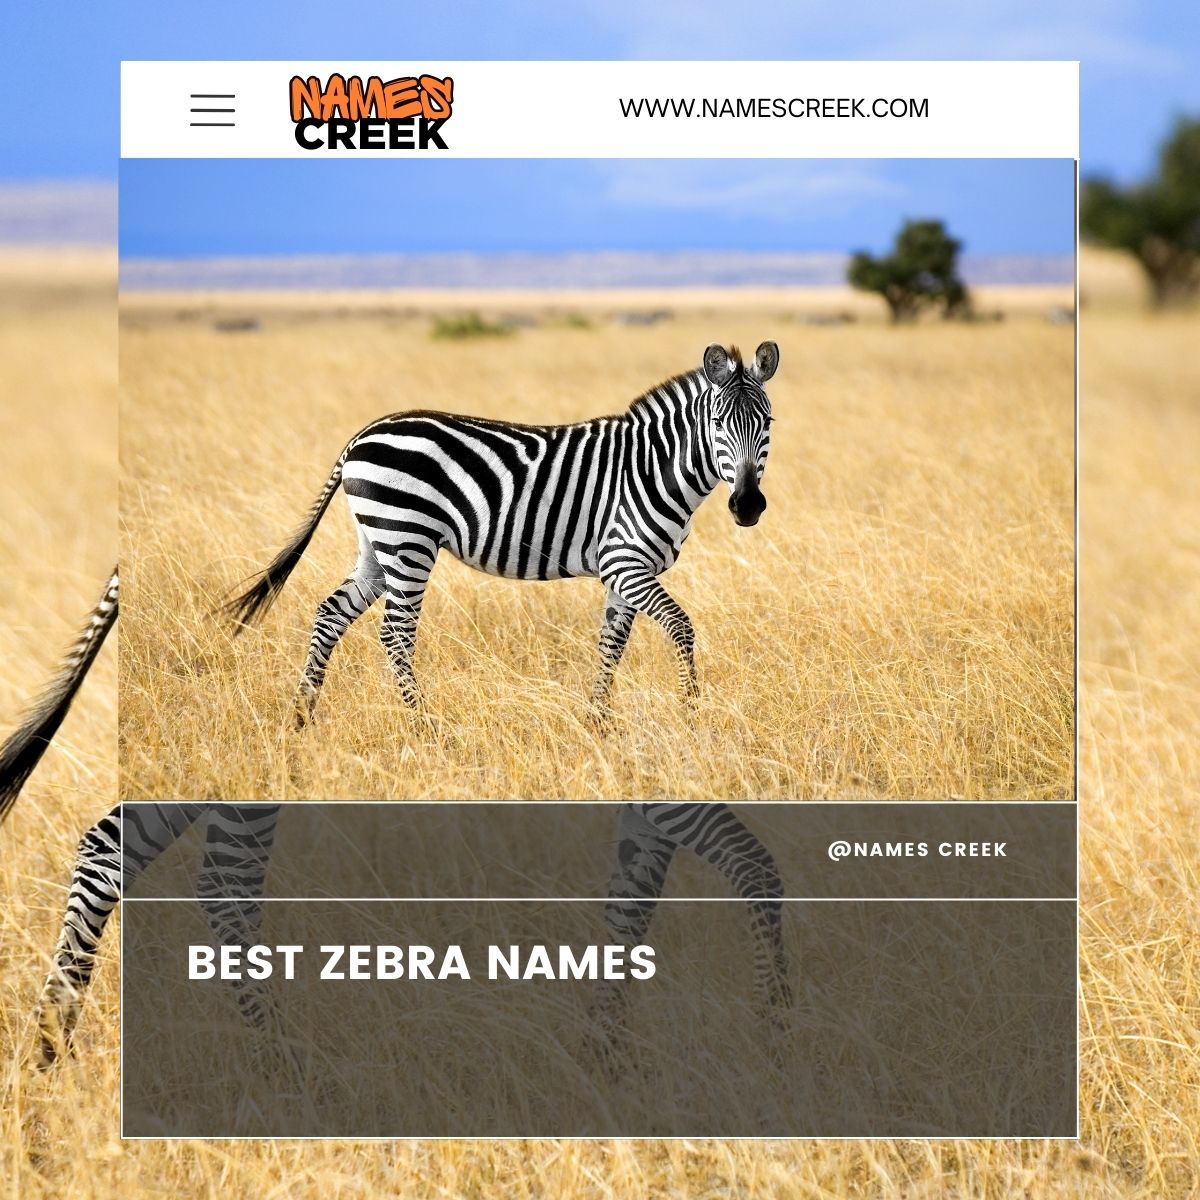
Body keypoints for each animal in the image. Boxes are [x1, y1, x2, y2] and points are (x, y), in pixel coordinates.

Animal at [23, 802, 789, 1069]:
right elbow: (754, 866)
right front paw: (774, 1039)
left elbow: (633, 900)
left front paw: (604, 1052)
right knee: (223, 884)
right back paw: (286, 1063)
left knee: (108, 849)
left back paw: (49, 1047)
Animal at [223, 341, 780, 728]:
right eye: (718, 422)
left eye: (768, 423)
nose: (748, 505)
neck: (652, 467)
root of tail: (362, 434)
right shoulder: (624, 561)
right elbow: (682, 628)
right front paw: (691, 714)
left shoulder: (625, 572)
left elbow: (611, 645)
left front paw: (598, 723)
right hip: (408, 538)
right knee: (396, 634)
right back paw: (424, 727)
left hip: (377, 544)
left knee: (330, 614)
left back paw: (302, 716)